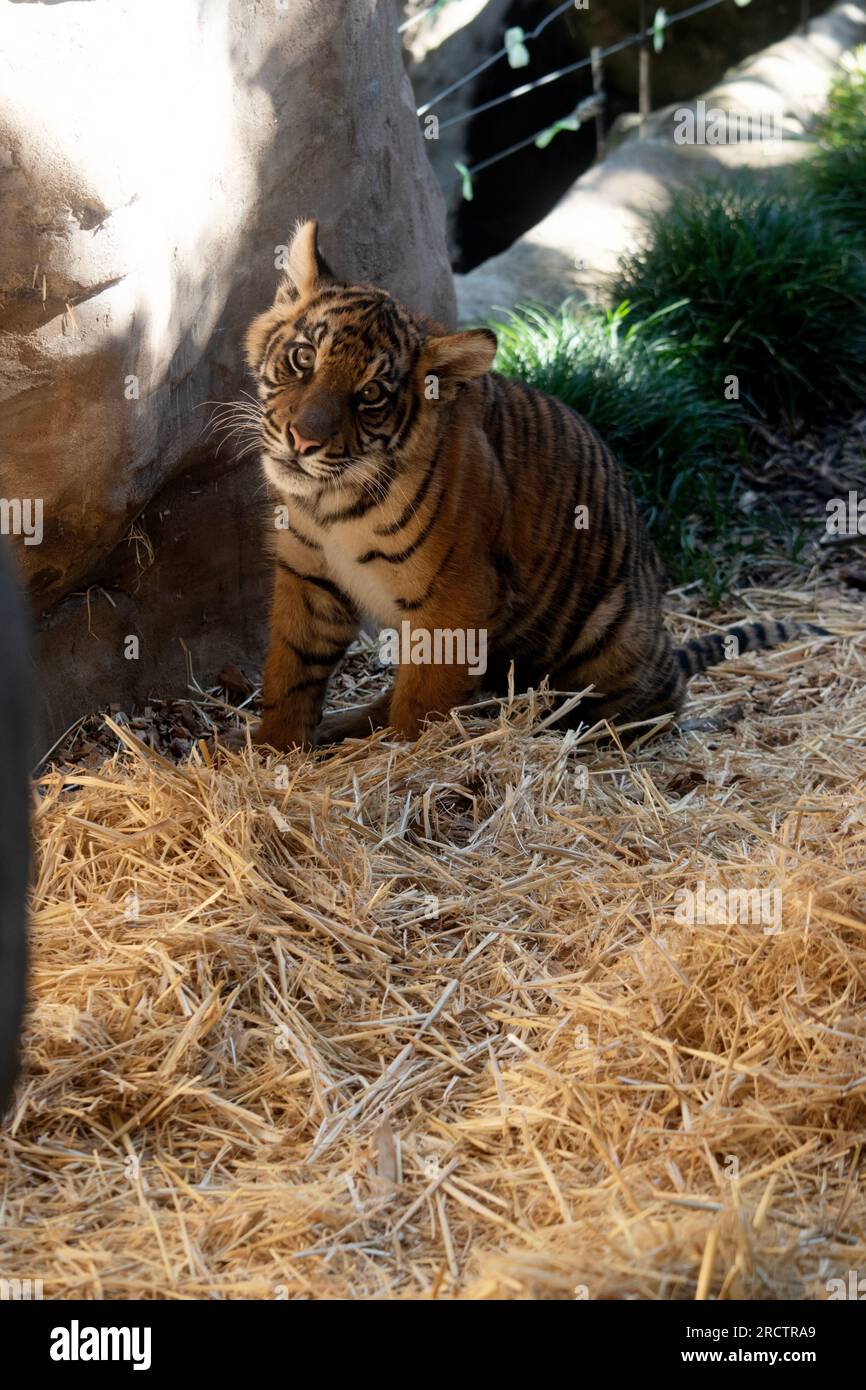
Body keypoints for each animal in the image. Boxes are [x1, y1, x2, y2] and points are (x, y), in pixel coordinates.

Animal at [237, 218, 825, 751]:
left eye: (372, 395)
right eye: (304, 357)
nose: (302, 441)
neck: (329, 503)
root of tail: (666, 649)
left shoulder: (456, 601)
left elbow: (421, 706)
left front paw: (403, 765)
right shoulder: (308, 575)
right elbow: (290, 672)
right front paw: (272, 752)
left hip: (608, 638)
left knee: (654, 708)